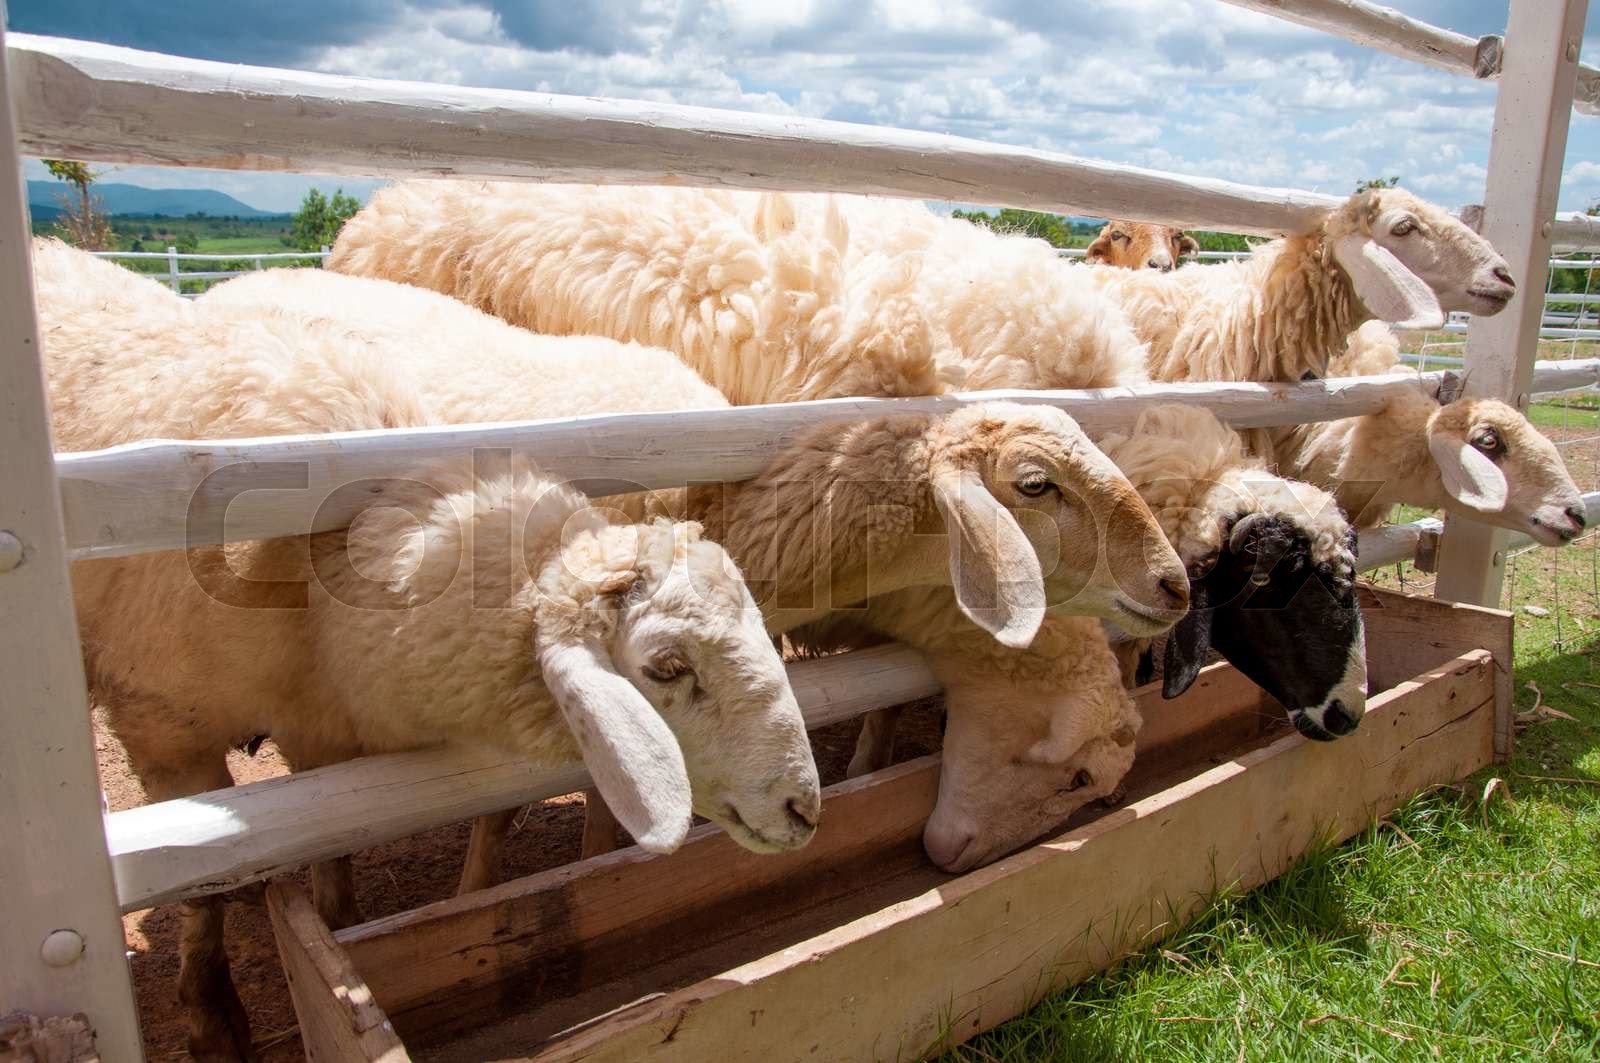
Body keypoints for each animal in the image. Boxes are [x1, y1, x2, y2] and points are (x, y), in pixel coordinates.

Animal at [35, 241, 821, 1061]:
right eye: (668, 666)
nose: (804, 807)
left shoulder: (322, 731)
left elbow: (333, 850)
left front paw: (341, 926)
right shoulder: (161, 725)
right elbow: (202, 884)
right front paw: (212, 1019)